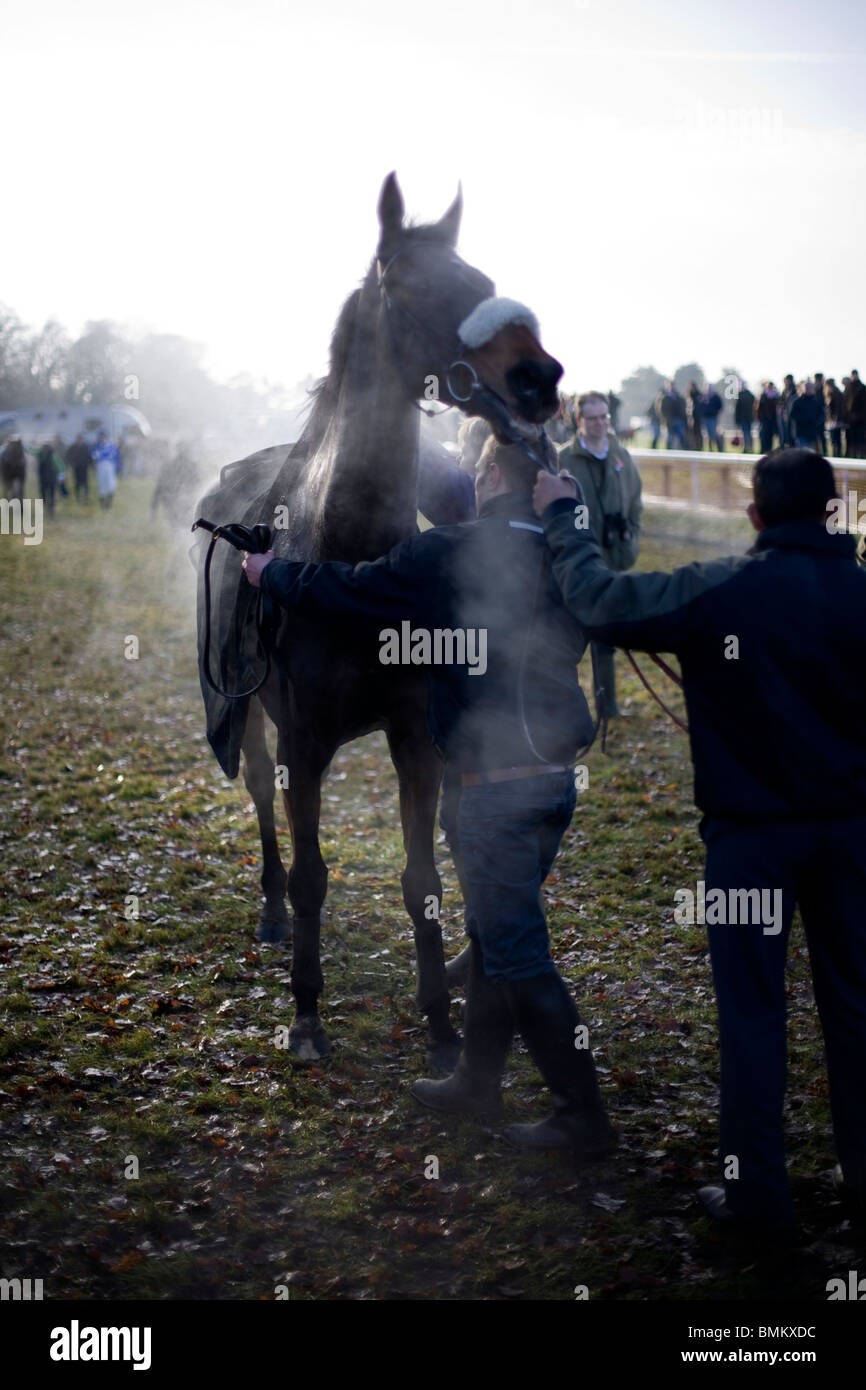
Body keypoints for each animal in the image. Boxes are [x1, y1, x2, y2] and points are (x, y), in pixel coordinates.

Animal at [194, 173, 563, 1069]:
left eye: (482, 278)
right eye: (415, 290)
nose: (538, 375)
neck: (347, 558)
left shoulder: (413, 737)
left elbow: (422, 880)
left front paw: (439, 1024)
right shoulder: (304, 742)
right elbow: (312, 874)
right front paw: (305, 1014)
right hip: (250, 719)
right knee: (259, 796)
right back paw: (270, 913)